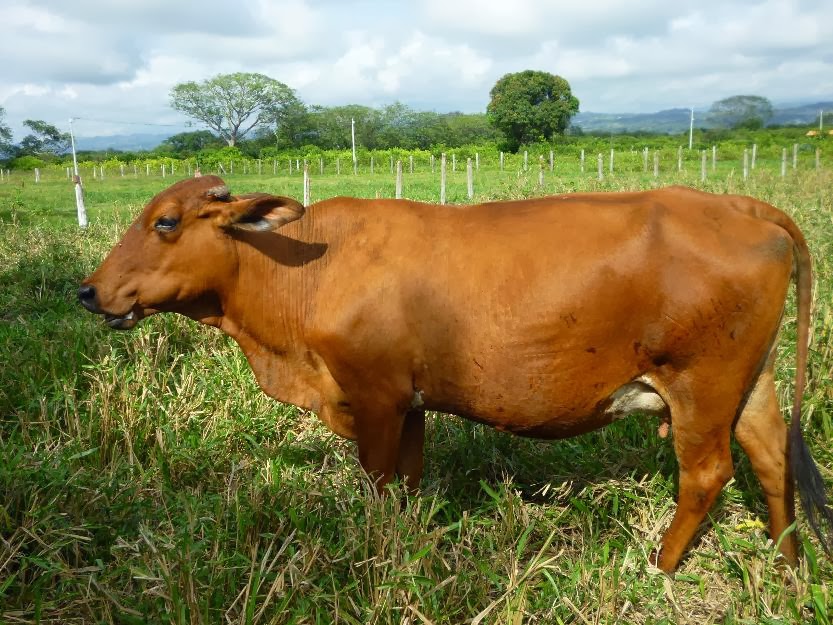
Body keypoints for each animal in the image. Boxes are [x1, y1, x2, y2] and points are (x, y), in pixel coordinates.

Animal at [78, 176, 833, 572]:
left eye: (166, 221)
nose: (88, 292)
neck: (306, 268)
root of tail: (736, 203)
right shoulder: (409, 402)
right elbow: (410, 482)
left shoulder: (374, 396)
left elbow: (380, 482)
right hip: (748, 382)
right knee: (771, 457)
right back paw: (787, 559)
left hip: (700, 384)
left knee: (706, 474)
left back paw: (658, 565)